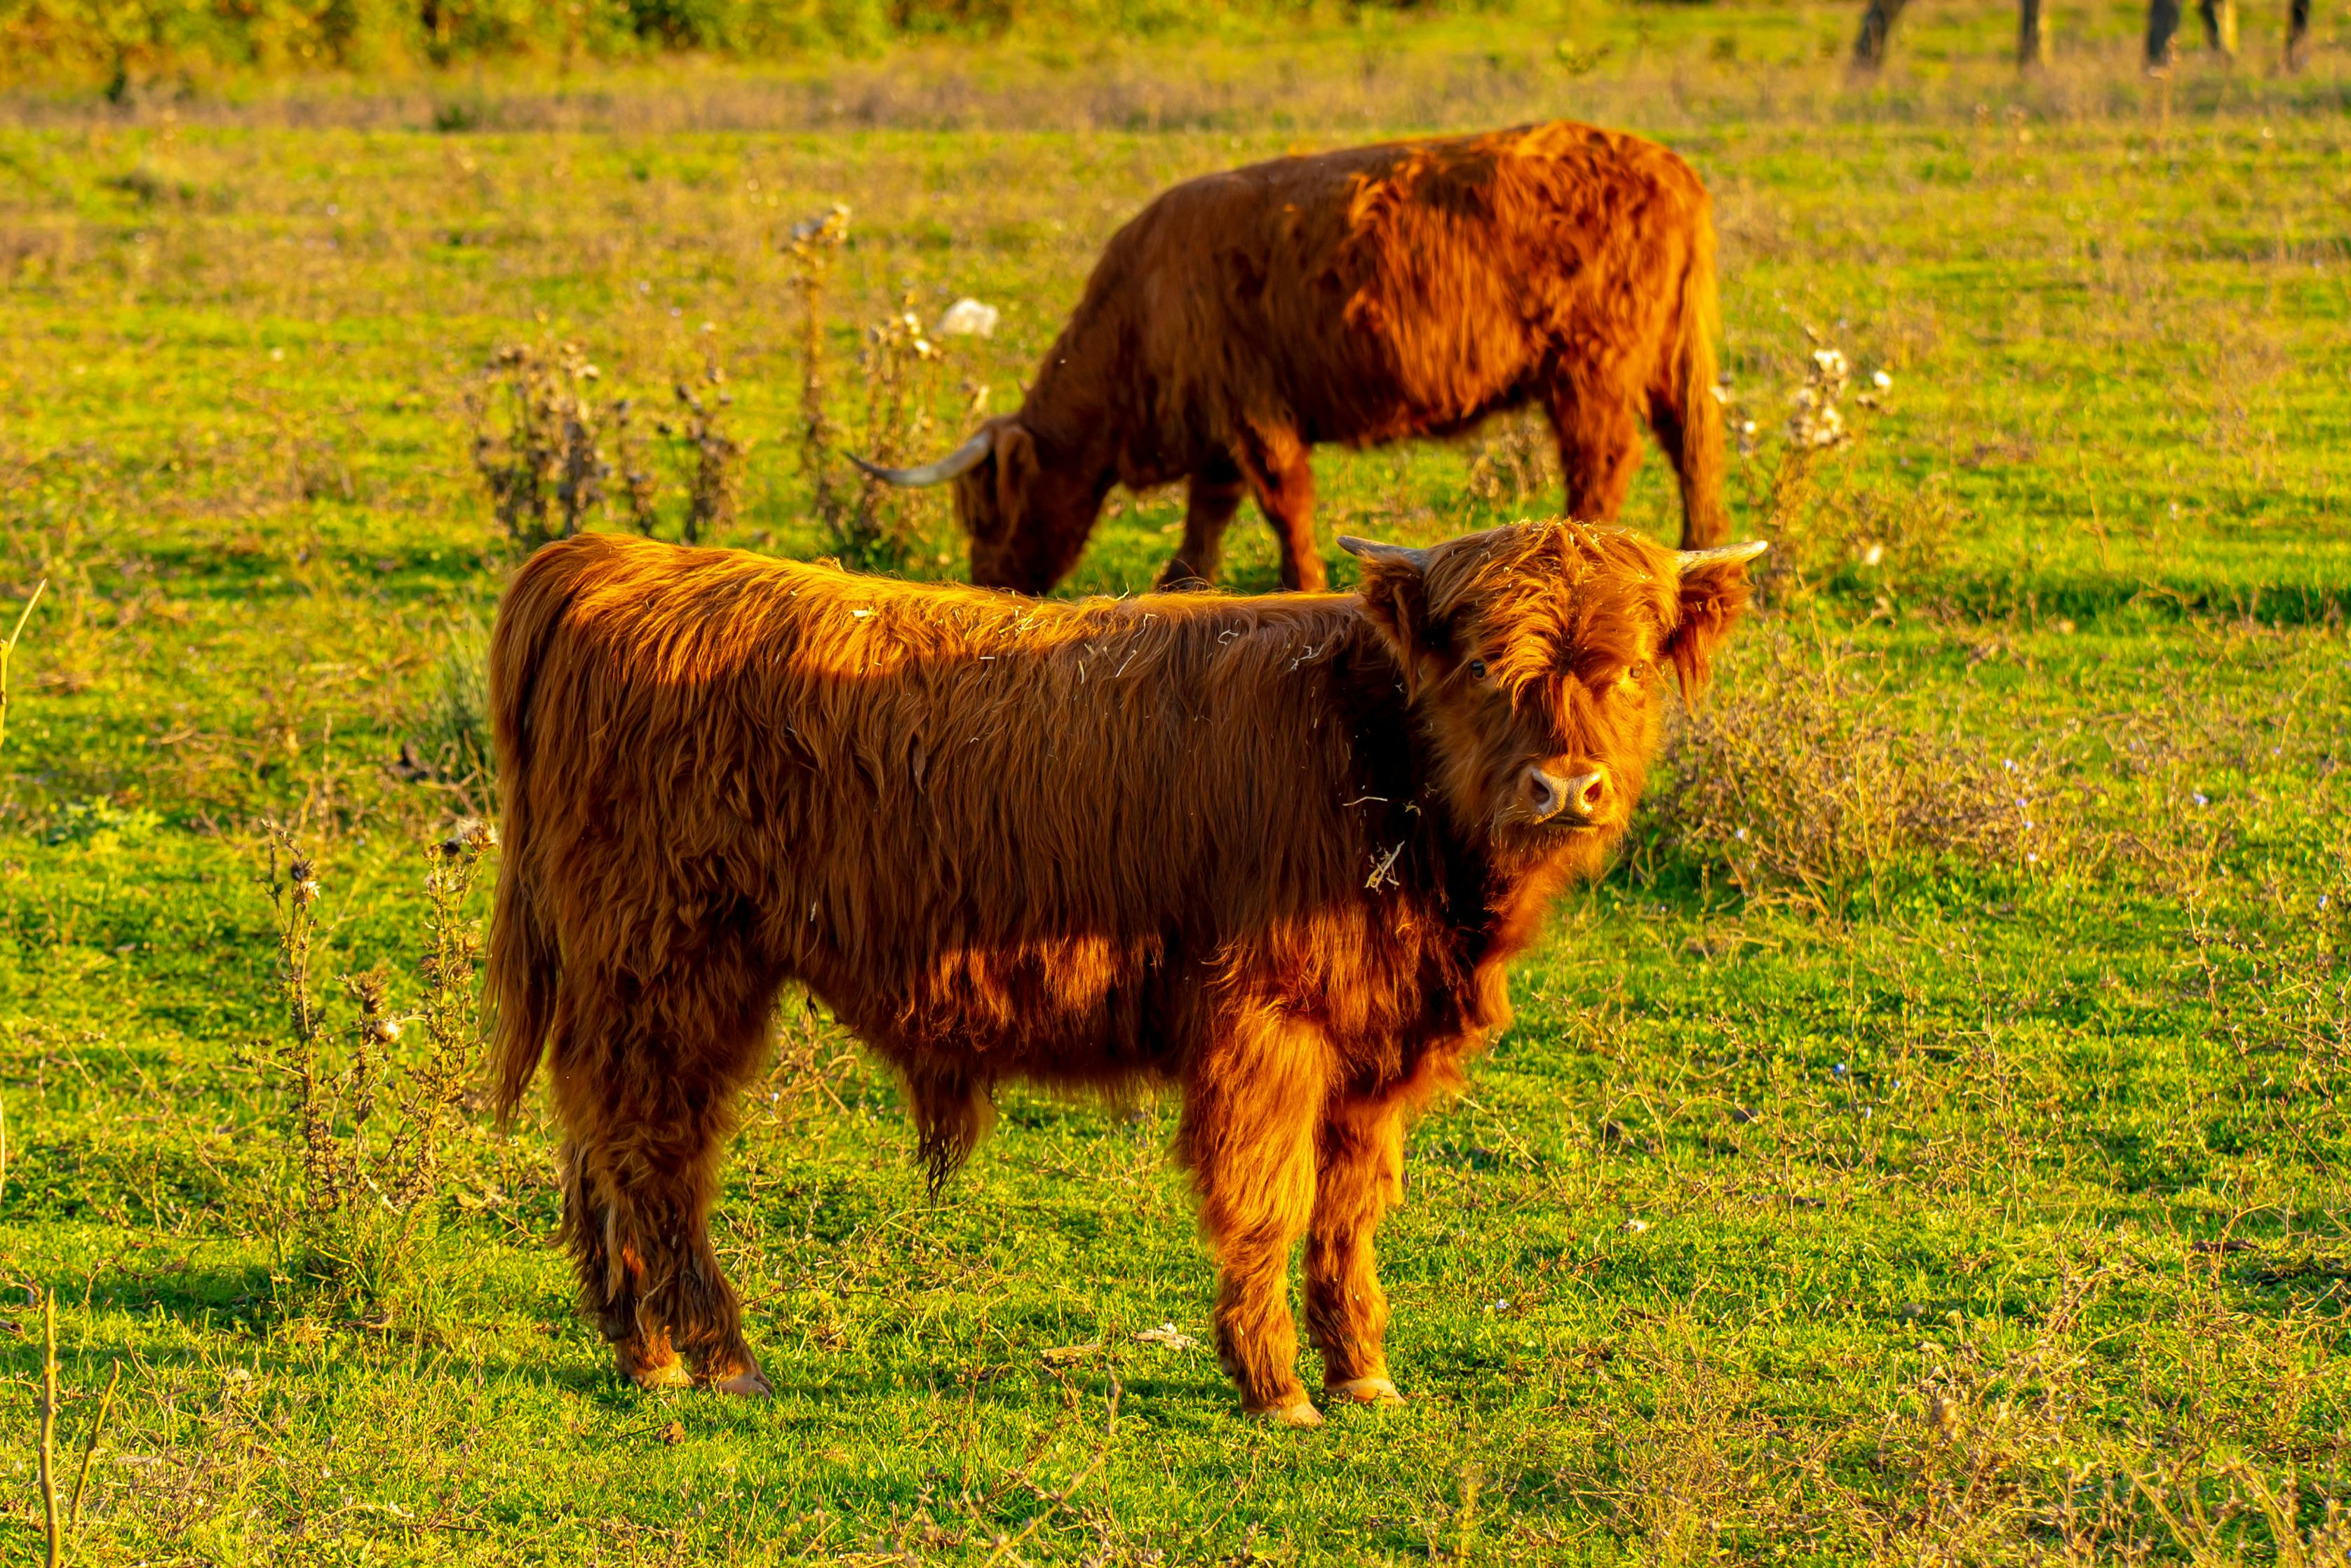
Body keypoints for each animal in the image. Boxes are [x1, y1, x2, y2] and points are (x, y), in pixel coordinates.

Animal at [485, 521, 1764, 1422]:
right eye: (1489, 667)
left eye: (1628, 667)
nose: (1565, 787)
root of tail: (619, 565)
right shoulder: (1266, 1024)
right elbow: (1265, 1200)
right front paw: (1276, 1386)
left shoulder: (1370, 1050)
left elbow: (1348, 1212)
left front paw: (1361, 1370)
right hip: (672, 961)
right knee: (657, 1149)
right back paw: (719, 1355)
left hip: (624, 975)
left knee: (600, 1142)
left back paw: (640, 1350)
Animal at [852, 121, 1729, 597]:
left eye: (987, 513)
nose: (984, 581)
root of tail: (1669, 164)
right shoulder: (1216, 416)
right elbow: (1211, 507)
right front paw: (1181, 581)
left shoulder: (1248, 404)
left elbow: (1281, 499)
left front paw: (1300, 581)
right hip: (1668, 352)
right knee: (1692, 441)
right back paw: (1707, 543)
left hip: (1590, 361)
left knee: (1605, 457)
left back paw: (1580, 547)